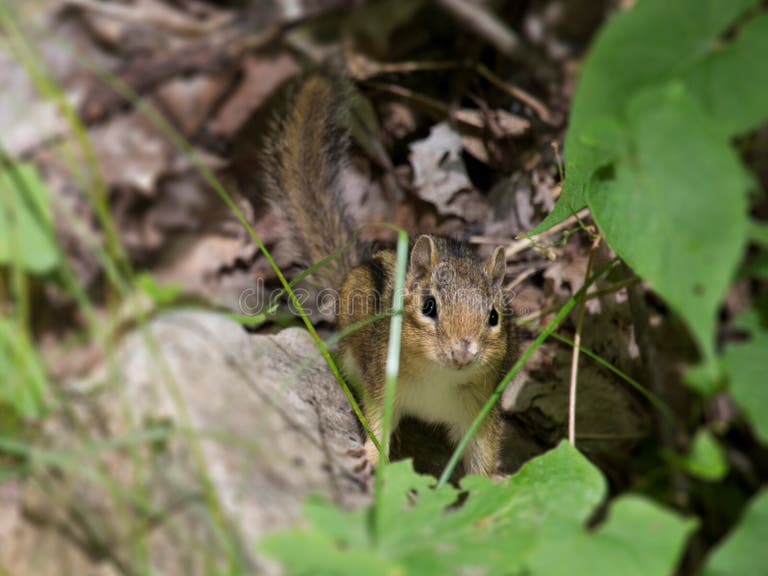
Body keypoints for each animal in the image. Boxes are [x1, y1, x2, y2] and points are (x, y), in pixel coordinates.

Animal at [262, 73, 518, 476]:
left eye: (494, 316)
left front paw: (494, 482)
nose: (462, 352)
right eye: (428, 307)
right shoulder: (383, 380)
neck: (440, 376)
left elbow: (482, 450)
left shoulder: (482, 406)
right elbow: (377, 422)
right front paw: (369, 456)